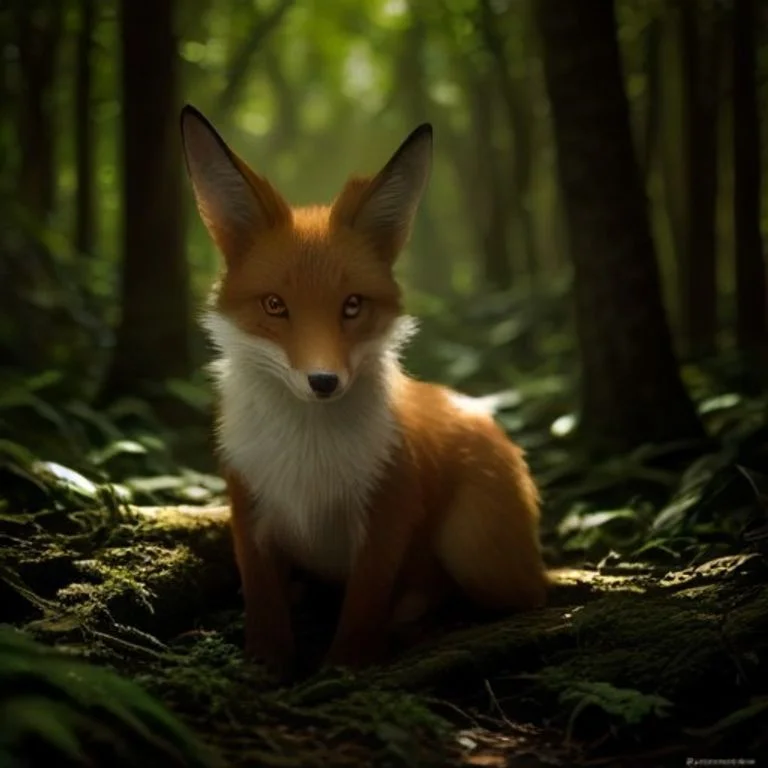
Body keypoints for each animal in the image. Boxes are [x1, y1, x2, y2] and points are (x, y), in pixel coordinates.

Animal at [179, 105, 549, 677]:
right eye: (274, 306)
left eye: (352, 305)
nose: (324, 382)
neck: (309, 460)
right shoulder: (250, 508)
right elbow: (263, 603)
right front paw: (266, 666)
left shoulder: (386, 512)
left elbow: (363, 605)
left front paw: (345, 669)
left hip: (475, 551)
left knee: (528, 598)